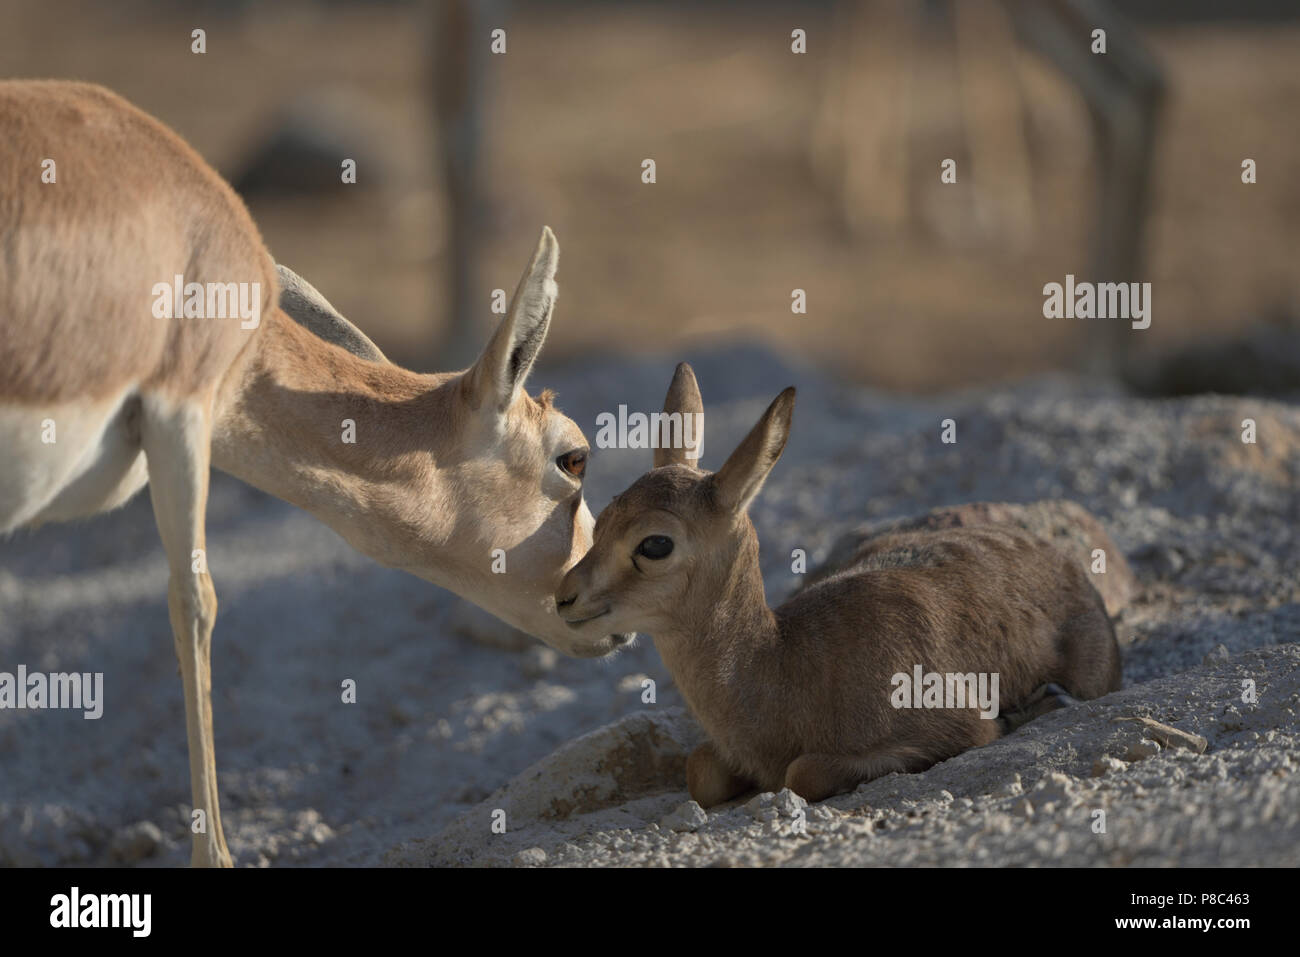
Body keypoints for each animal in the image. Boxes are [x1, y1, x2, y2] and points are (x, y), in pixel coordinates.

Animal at [557, 364, 1123, 806]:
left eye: (655, 543)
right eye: (601, 518)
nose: (565, 597)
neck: (785, 666)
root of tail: (1061, 559)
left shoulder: (954, 726)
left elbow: (803, 771)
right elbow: (701, 771)